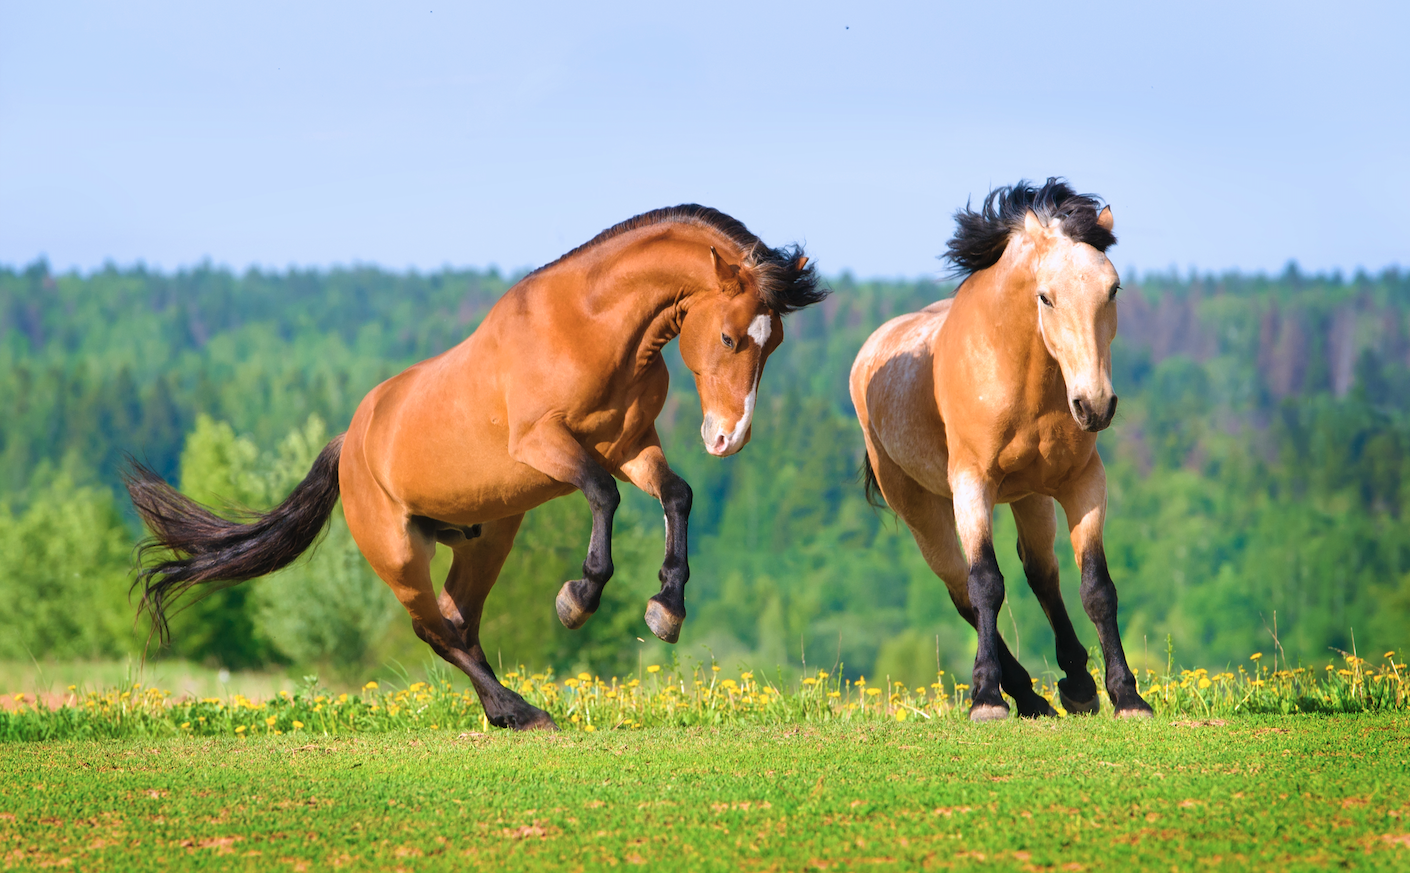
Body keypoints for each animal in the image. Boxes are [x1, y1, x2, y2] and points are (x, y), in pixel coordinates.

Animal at [126, 204, 825, 730]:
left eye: (773, 343)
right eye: (731, 337)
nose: (728, 438)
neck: (589, 328)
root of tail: (349, 443)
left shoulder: (630, 445)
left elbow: (676, 495)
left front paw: (666, 608)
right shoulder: (546, 444)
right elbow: (603, 495)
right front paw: (578, 598)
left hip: (485, 540)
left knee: (459, 620)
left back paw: (508, 710)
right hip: (399, 554)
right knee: (433, 628)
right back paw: (518, 709)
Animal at [850, 179, 1152, 721]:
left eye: (1113, 289)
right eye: (1046, 297)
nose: (1095, 405)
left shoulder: (1084, 481)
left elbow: (1097, 587)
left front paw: (1127, 695)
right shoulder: (972, 485)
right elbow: (986, 583)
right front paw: (987, 697)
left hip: (1030, 496)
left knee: (1042, 573)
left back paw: (1074, 684)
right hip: (922, 511)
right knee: (962, 590)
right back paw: (1023, 691)